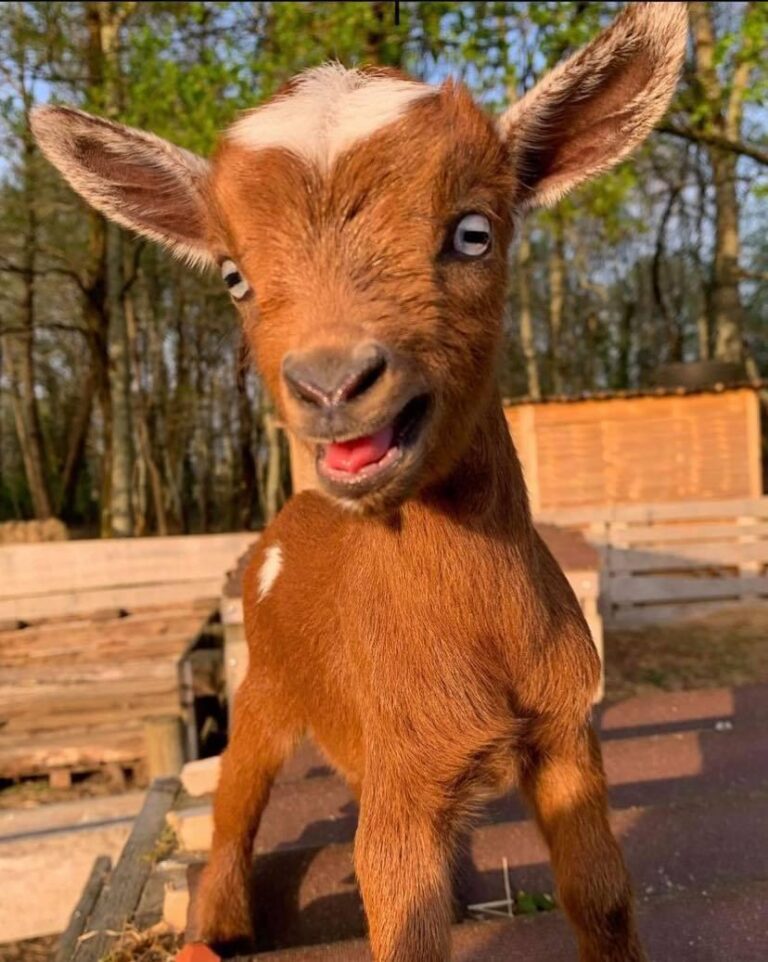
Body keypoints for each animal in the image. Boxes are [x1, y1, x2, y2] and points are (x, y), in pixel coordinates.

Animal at [32, 4, 688, 959]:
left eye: (473, 232)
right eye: (233, 275)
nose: (332, 383)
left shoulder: (566, 731)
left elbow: (600, 895)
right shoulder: (404, 777)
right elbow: (400, 916)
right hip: (263, 687)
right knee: (234, 805)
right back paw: (217, 923)